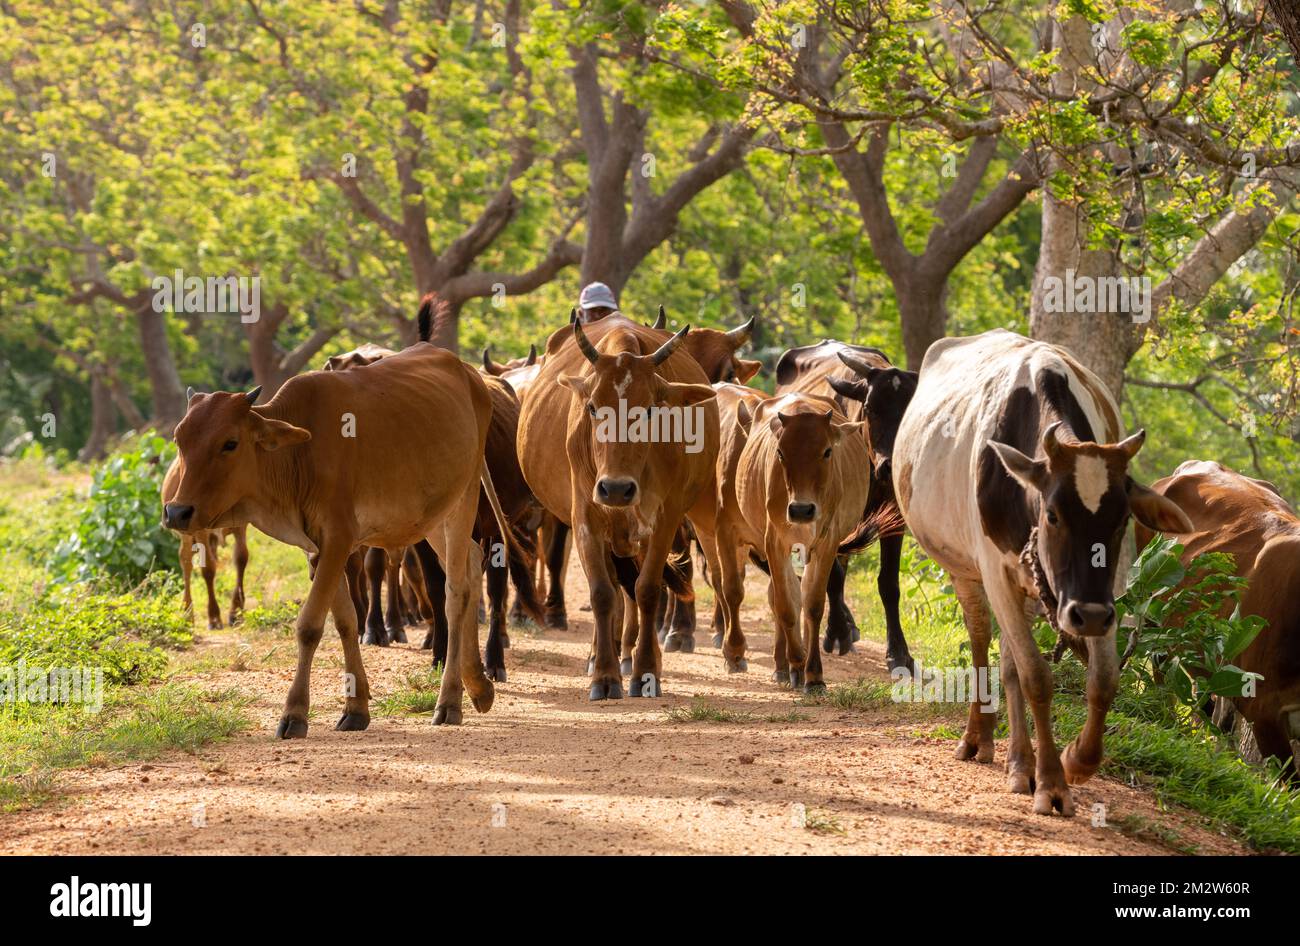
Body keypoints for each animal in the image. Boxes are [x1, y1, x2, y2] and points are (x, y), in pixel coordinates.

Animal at [163, 298, 506, 732]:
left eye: (230, 443)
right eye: (179, 439)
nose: (177, 511)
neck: (299, 453)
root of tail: (467, 372)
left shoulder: (339, 537)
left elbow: (310, 624)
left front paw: (294, 712)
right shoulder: (318, 547)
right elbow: (345, 620)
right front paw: (355, 707)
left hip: (463, 497)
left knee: (456, 591)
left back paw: (450, 701)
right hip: (433, 515)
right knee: (474, 566)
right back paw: (478, 686)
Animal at [517, 315, 722, 696]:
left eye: (651, 409)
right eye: (593, 407)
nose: (615, 489)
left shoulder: (664, 522)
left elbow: (648, 591)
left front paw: (646, 671)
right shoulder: (585, 518)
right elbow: (601, 593)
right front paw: (604, 675)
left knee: (633, 592)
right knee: (614, 589)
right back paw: (602, 654)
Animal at [894, 328, 1190, 816]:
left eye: (1122, 519)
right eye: (1052, 515)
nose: (1088, 616)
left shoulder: (1102, 592)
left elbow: (1103, 679)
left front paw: (1075, 761)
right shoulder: (996, 573)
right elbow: (1036, 676)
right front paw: (1051, 783)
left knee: (1010, 663)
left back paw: (1019, 761)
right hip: (966, 571)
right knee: (983, 642)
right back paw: (980, 739)